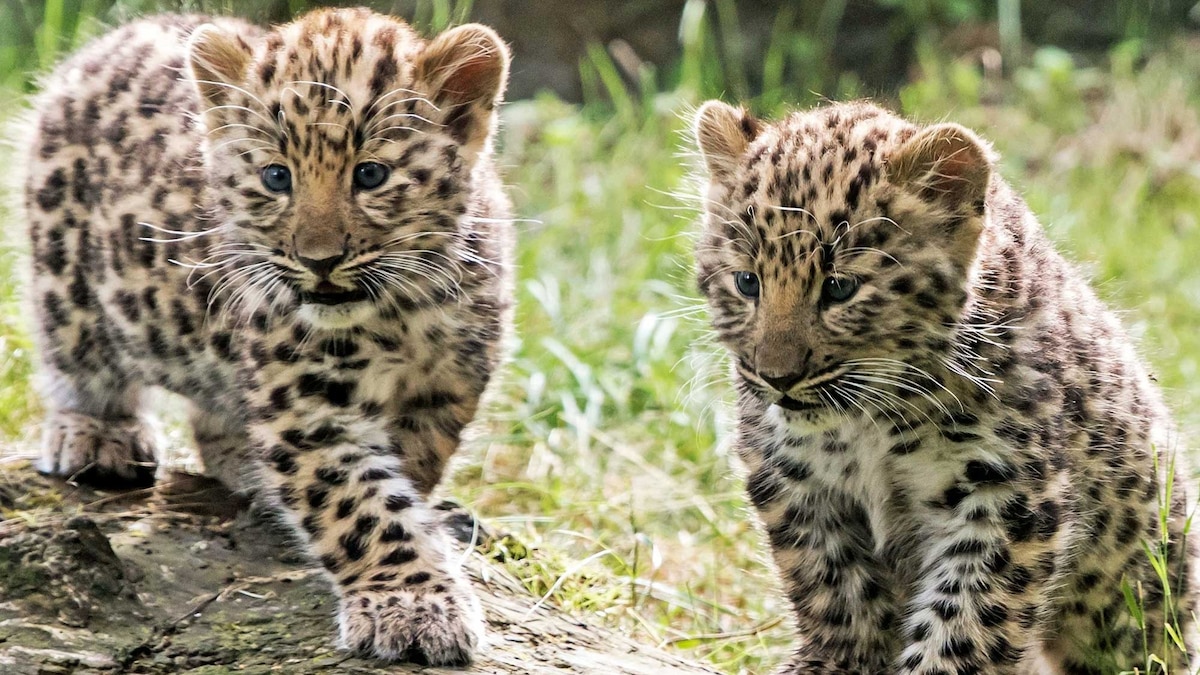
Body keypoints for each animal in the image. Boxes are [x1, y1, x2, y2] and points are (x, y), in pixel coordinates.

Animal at [17, 7, 514, 666]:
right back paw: (97, 436)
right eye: (276, 178)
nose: (319, 260)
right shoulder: (307, 413)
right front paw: (413, 604)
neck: (402, 309)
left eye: (371, 175)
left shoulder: (447, 387)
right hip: (65, 272)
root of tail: (115, 37)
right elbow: (363, 509)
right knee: (78, 360)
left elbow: (408, 472)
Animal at [690, 99, 1198, 674]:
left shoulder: (1007, 496)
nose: (777, 377)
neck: (867, 424)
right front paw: (834, 660)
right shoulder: (794, 479)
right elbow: (833, 587)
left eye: (839, 288)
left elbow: (968, 618)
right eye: (746, 283)